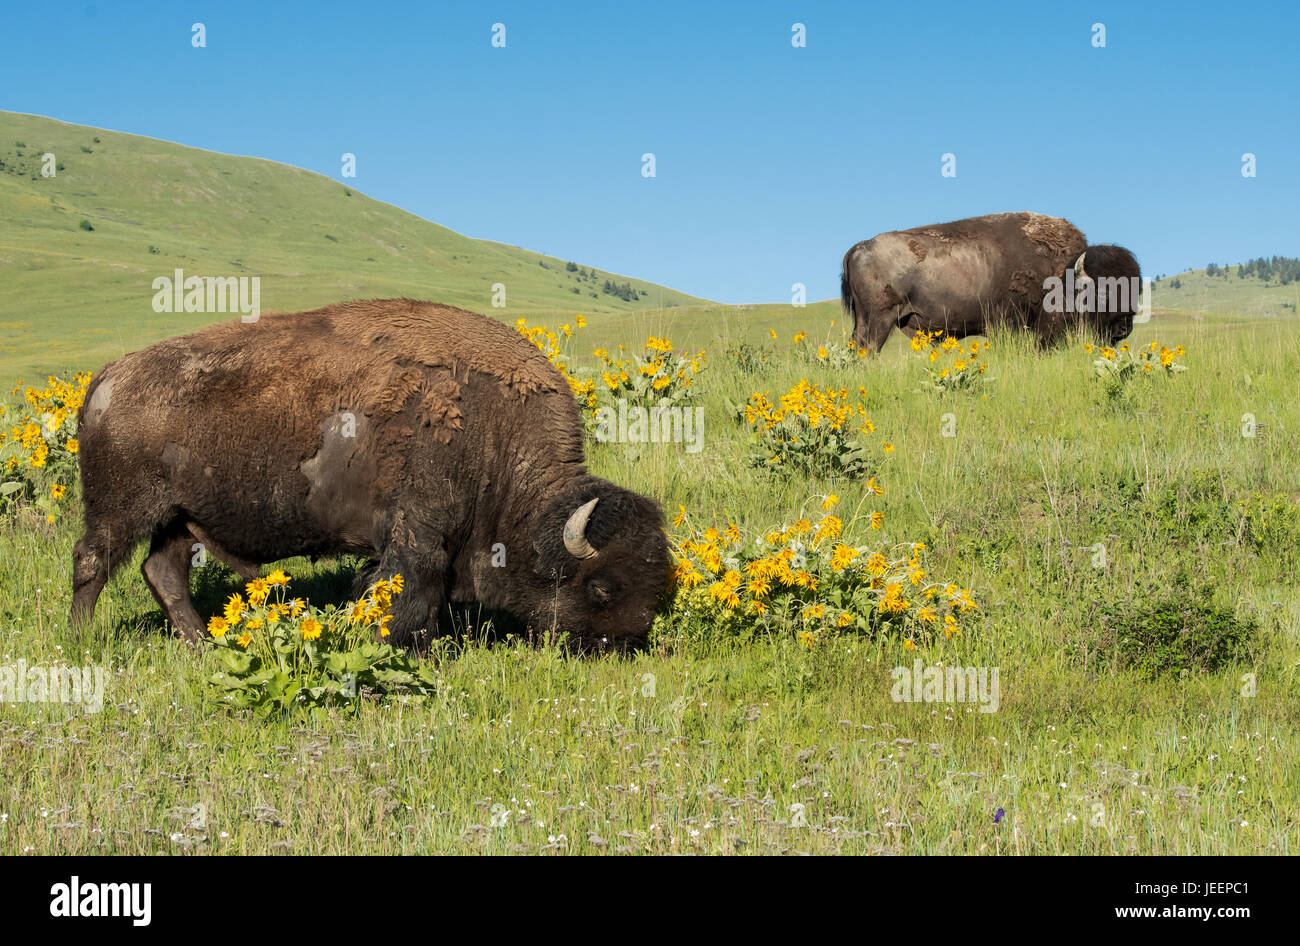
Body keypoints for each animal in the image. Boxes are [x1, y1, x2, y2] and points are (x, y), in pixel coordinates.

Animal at [70, 298, 671, 651]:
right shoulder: (419, 532)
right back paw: (81, 639)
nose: (622, 645)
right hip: (122, 510)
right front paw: (409, 648)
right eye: (601, 588)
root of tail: (106, 378)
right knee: (92, 562)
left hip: (177, 518)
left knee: (162, 572)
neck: (496, 436)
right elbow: (411, 590)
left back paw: (201, 645)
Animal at [840, 212, 1141, 352]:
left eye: (1136, 291)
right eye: (1102, 293)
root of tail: (858, 247)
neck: (1063, 275)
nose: (1124, 328)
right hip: (878, 321)